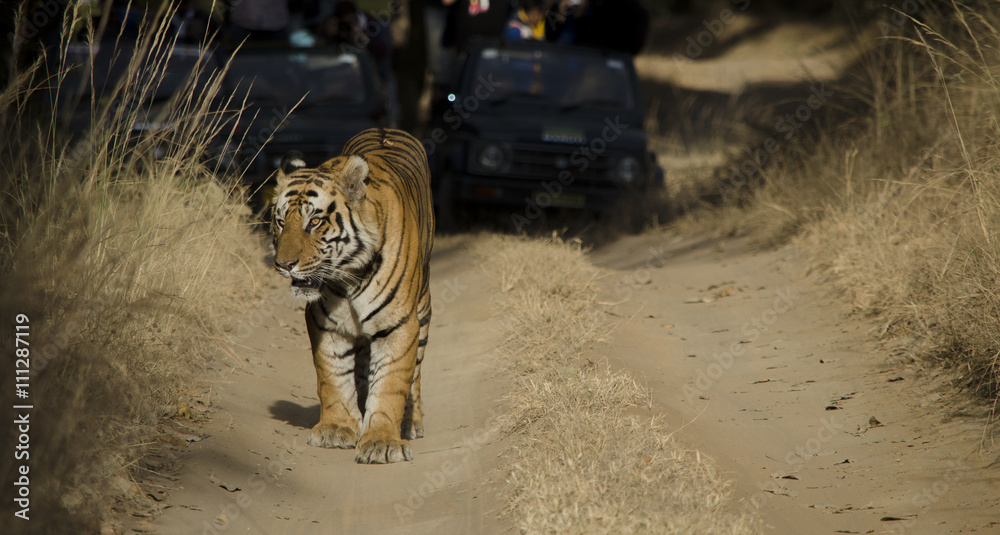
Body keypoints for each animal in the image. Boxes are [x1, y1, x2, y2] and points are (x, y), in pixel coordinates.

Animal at [270, 128, 434, 464]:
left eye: (314, 222)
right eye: (280, 221)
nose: (284, 265)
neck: (348, 277)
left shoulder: (399, 324)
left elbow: (391, 383)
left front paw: (382, 441)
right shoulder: (324, 321)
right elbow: (333, 375)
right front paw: (337, 427)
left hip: (423, 311)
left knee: (415, 374)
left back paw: (411, 423)